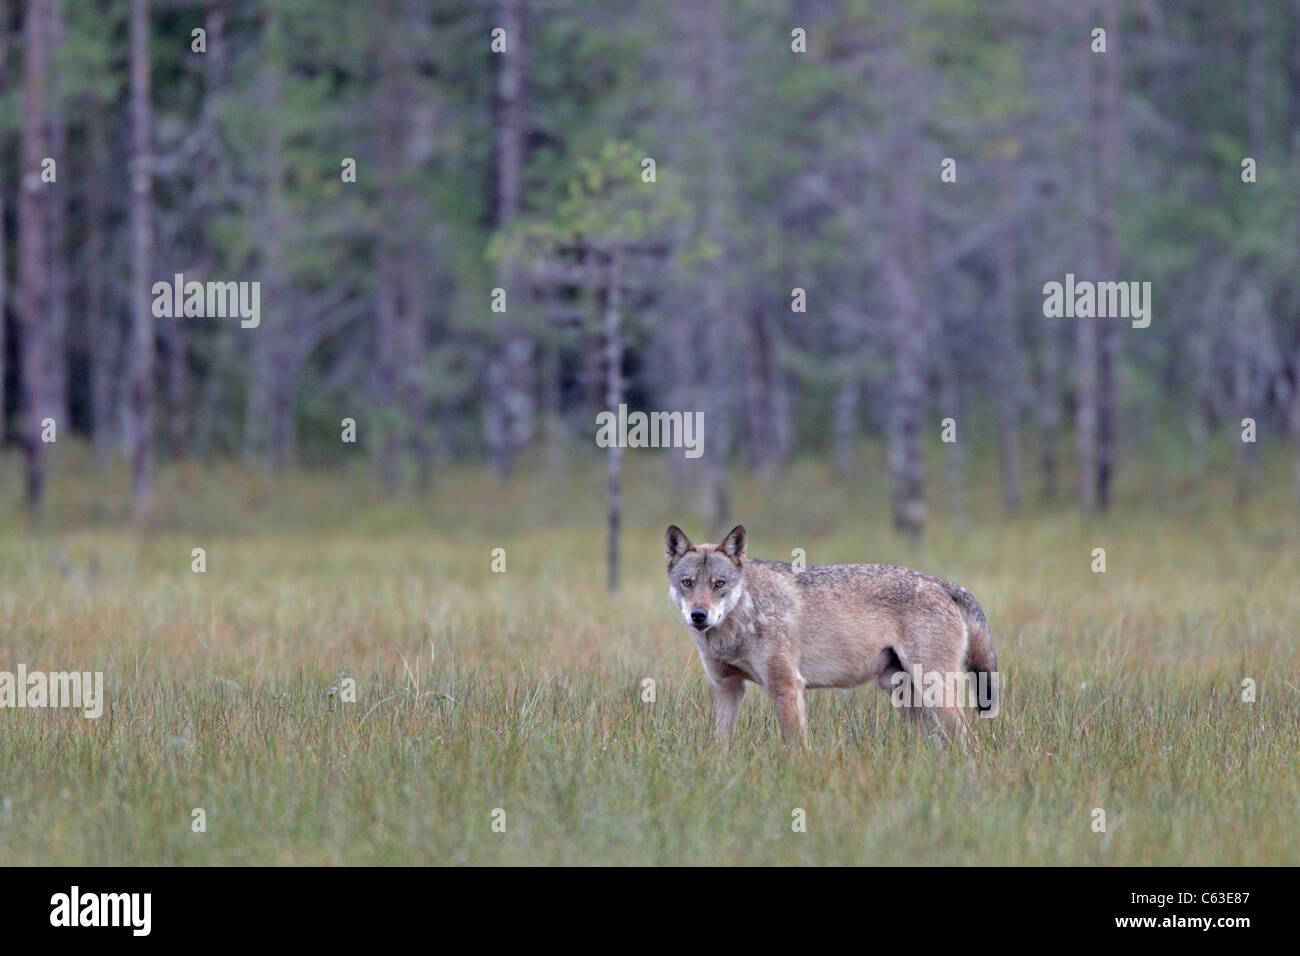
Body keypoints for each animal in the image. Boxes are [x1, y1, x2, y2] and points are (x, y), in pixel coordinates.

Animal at [665, 524, 998, 745]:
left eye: (719, 584)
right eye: (687, 583)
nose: (699, 615)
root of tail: (941, 583)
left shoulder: (786, 686)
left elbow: (794, 745)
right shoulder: (728, 689)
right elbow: (720, 743)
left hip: (934, 691)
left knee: (970, 741)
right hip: (905, 696)